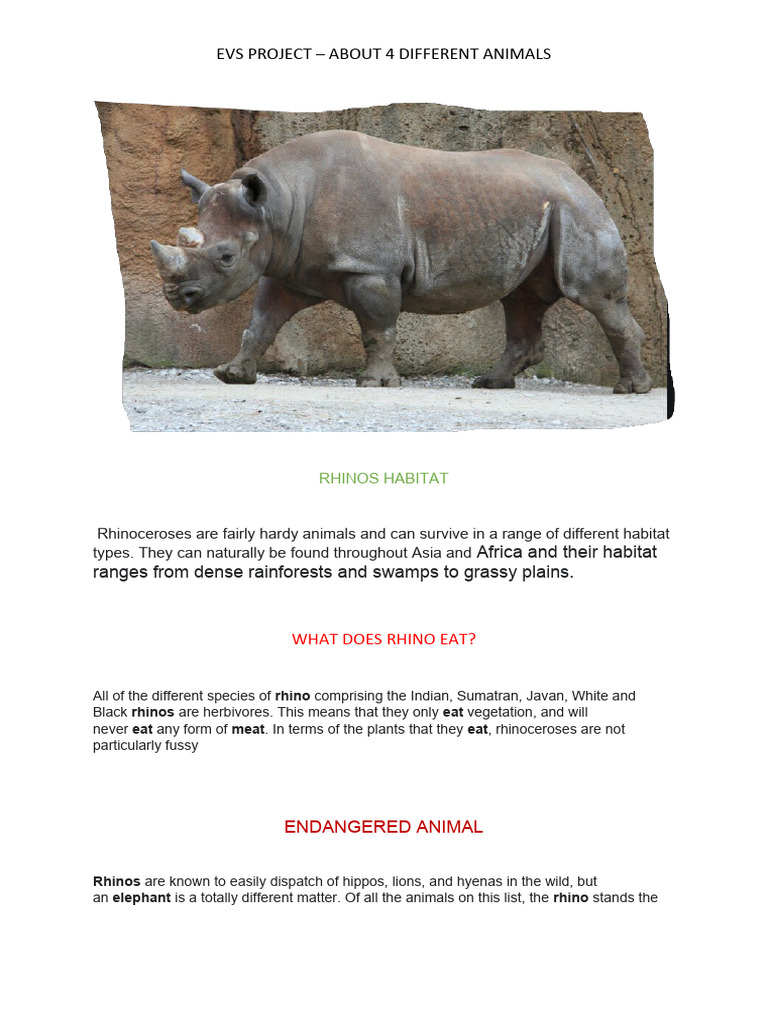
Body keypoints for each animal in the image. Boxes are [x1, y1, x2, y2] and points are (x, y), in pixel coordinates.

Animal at [150, 129, 652, 393]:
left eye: (226, 257)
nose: (177, 297)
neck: (278, 202)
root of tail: (584, 181)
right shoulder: (288, 266)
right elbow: (261, 321)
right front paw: (233, 375)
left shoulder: (369, 267)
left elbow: (377, 327)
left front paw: (374, 384)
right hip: (547, 208)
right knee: (521, 298)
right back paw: (489, 383)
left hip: (579, 211)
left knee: (593, 297)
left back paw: (630, 390)